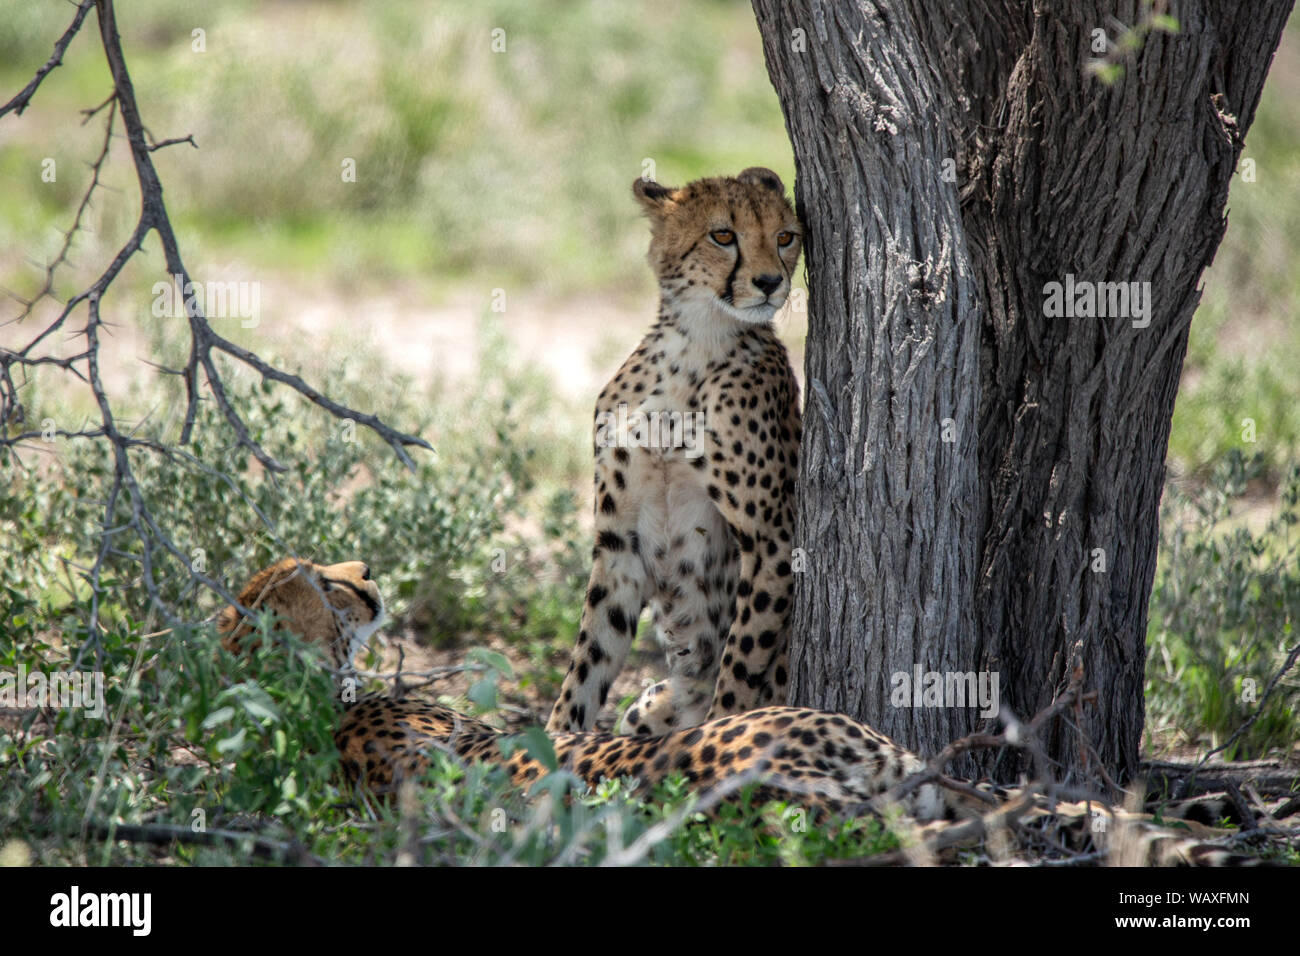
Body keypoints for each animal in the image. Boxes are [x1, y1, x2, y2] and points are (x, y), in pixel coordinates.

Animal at [217, 558, 1275, 866]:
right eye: (322, 581)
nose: (368, 581)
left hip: (897, 772)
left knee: (1043, 808)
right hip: (872, 772)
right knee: (1002, 813)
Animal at [546, 166, 804, 737]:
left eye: (785, 237)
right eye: (723, 235)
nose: (770, 282)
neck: (696, 346)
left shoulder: (771, 538)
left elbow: (741, 664)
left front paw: (723, 737)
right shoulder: (618, 543)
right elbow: (587, 660)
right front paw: (550, 741)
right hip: (642, 707)